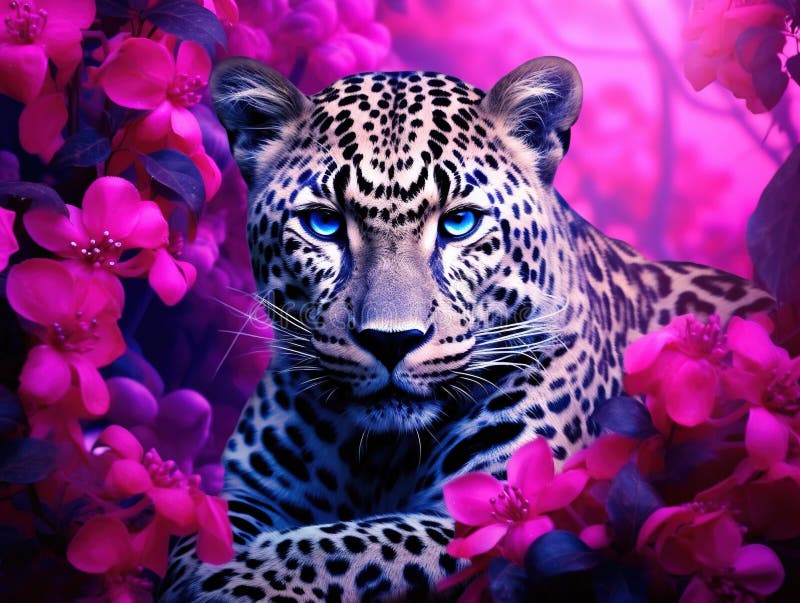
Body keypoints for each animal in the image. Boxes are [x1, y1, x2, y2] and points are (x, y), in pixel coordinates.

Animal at [159, 56, 773, 602]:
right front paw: (201, 569)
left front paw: (225, 583)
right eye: (324, 224)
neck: (378, 453)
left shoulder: (501, 509)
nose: (390, 340)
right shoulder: (249, 492)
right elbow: (199, 536)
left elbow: (333, 547)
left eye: (459, 223)